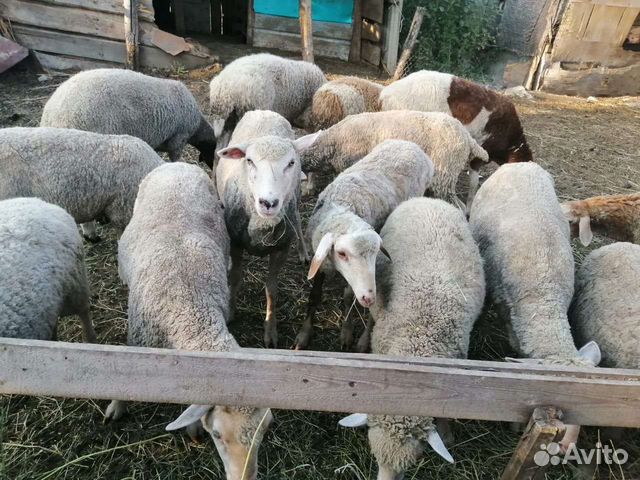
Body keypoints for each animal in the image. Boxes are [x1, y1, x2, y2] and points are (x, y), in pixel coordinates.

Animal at [105, 162, 272, 480]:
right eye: (218, 436)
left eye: (263, 435)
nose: (244, 478)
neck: (189, 307)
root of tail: (177, 164)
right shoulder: (138, 338)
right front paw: (117, 406)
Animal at [216, 110, 320, 348]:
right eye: (249, 161)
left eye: (291, 162)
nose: (268, 203)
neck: (262, 226)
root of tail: (265, 112)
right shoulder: (236, 242)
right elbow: (235, 278)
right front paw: (231, 313)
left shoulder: (281, 249)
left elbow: (272, 289)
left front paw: (270, 330)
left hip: (294, 204)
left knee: (298, 220)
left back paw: (303, 252)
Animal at [294, 140, 435, 350]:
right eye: (341, 253)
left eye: (376, 254)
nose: (369, 298)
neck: (343, 206)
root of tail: (411, 145)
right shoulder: (321, 261)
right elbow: (314, 296)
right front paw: (304, 334)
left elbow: (348, 297)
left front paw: (346, 332)